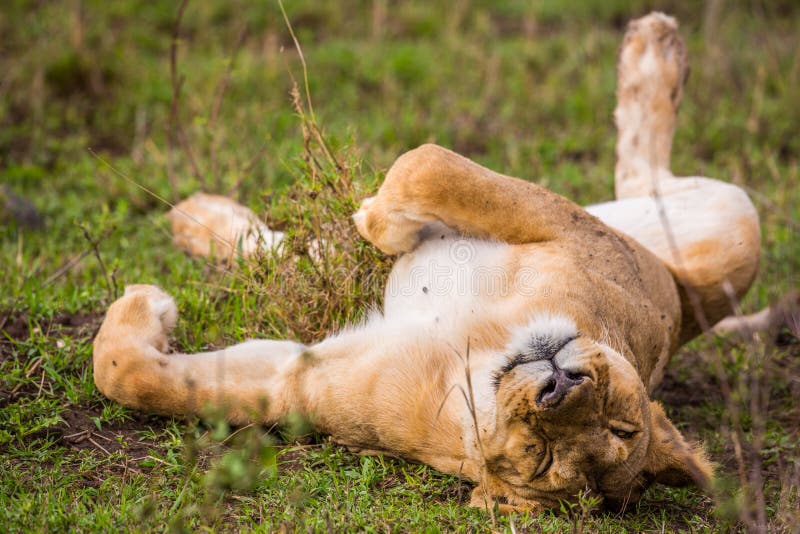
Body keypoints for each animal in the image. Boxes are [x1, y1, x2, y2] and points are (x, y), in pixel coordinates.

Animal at [92, 13, 760, 513]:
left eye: (545, 454)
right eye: (622, 424)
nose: (560, 386)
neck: (474, 352)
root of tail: (687, 304)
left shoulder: (297, 379)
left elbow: (424, 166)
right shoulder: (572, 231)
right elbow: (128, 376)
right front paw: (149, 308)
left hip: (735, 222)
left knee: (647, 167)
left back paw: (655, 46)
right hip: (676, 229)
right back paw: (196, 216)